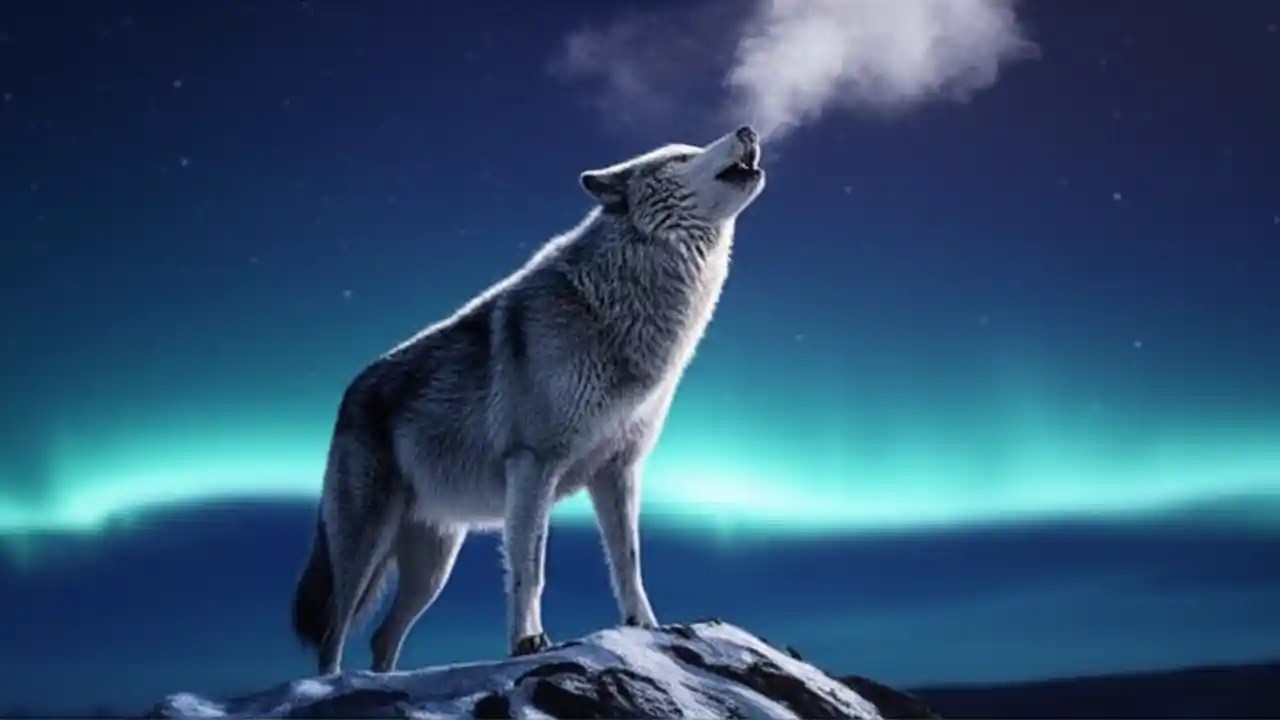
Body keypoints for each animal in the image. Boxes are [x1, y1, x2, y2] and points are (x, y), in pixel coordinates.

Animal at [290, 126, 766, 675]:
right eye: (682, 156)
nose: (748, 130)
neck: (616, 303)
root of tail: (348, 392)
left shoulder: (618, 470)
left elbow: (628, 561)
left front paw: (648, 627)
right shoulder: (534, 464)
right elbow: (530, 566)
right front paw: (528, 642)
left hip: (433, 566)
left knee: (382, 638)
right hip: (365, 547)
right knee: (334, 632)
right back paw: (328, 684)